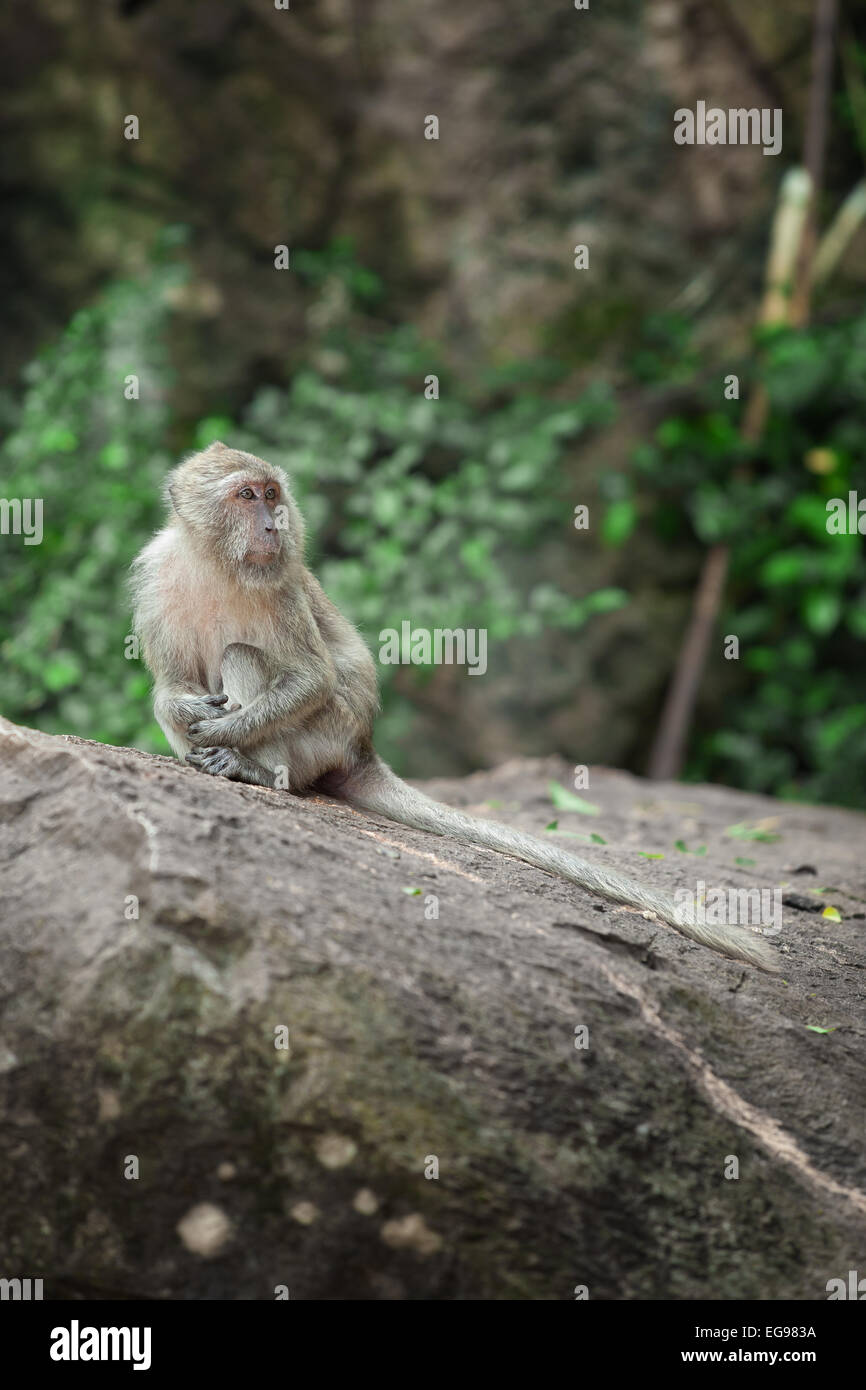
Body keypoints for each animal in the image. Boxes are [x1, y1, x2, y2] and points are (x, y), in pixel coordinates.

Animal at [130, 442, 778, 973]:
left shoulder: (283, 584)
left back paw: (258, 771)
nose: (274, 523)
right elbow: (170, 687)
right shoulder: (158, 578)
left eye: (272, 494)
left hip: (324, 736)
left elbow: (312, 679)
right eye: (247, 496)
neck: (217, 562)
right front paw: (190, 713)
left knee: (245, 658)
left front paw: (224, 730)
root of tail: (361, 746)